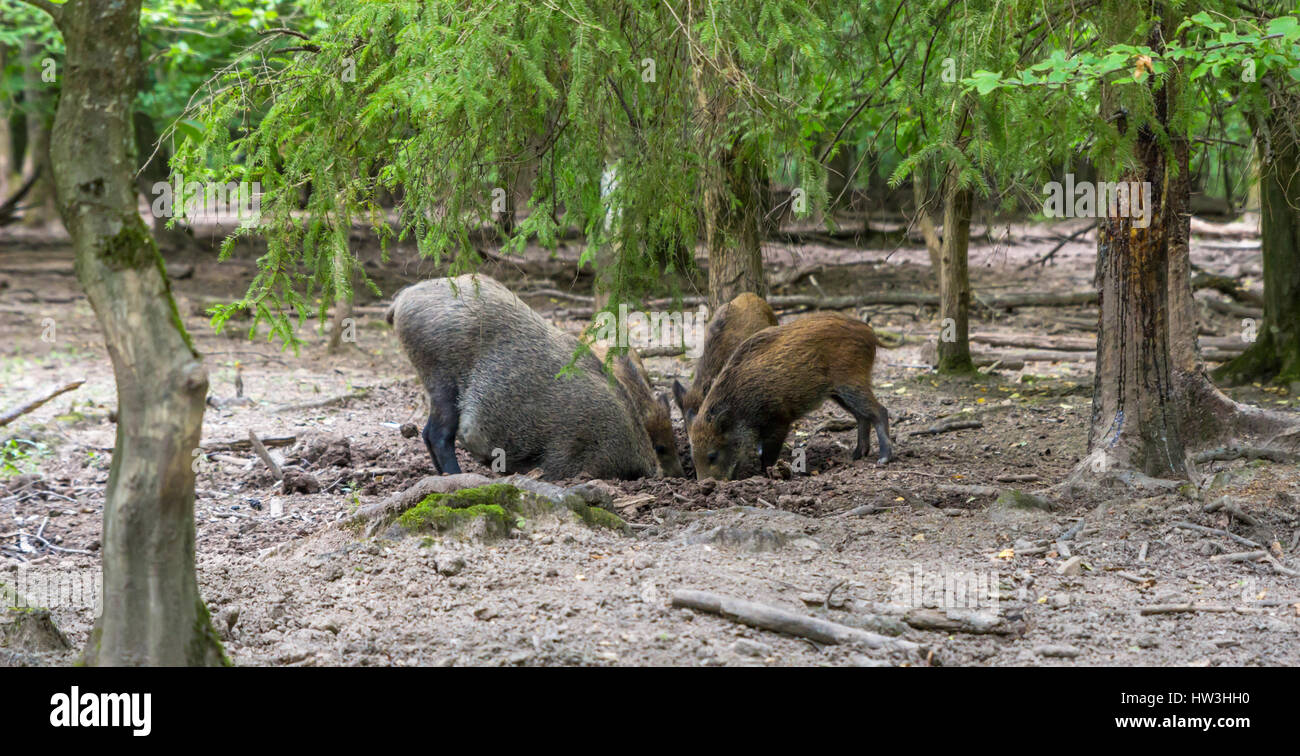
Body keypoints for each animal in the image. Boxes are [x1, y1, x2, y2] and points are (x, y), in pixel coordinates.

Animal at [387, 275, 658, 480]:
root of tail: (403, 298)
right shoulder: (567, 445)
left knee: (427, 433)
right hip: (441, 376)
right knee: (438, 434)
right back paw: (458, 475)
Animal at [689, 312, 893, 480]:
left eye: (712, 455)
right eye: (693, 456)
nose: (704, 483)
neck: (740, 406)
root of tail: (870, 333)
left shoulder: (779, 418)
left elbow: (768, 454)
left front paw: (766, 474)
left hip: (850, 381)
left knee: (880, 411)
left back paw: (883, 459)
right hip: (838, 392)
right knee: (862, 416)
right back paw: (856, 455)